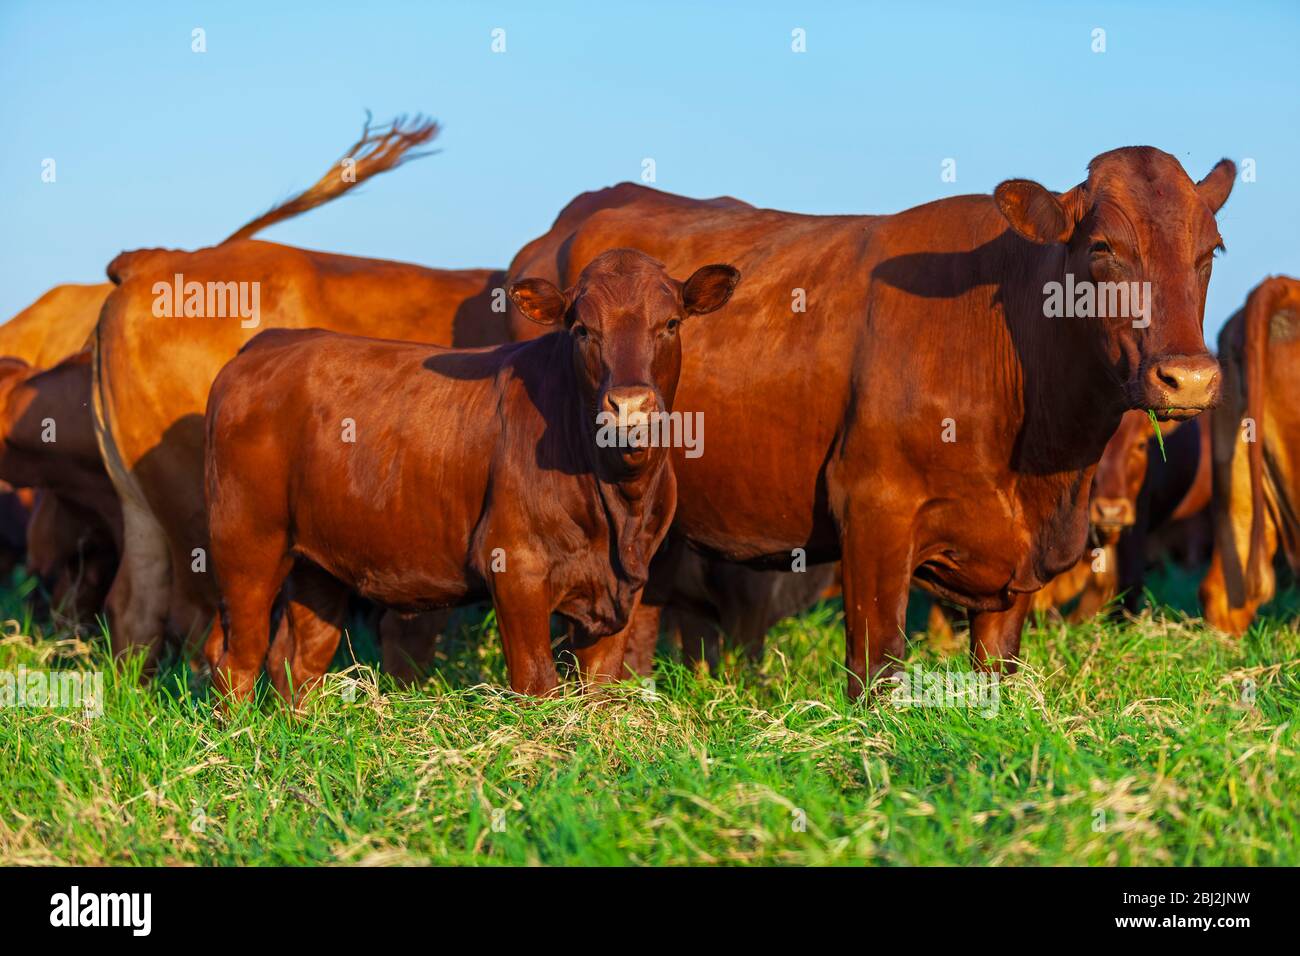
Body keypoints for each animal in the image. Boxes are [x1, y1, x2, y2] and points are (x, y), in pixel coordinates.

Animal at [202, 249, 739, 702]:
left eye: (670, 323)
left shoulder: (623, 585)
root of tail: (266, 344)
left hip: (317, 560)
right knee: (237, 658)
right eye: (582, 329)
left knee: (298, 661)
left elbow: (600, 689)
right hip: (246, 544)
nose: (629, 405)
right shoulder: (516, 564)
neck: (619, 504)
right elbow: (537, 682)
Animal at [507, 147, 1234, 698]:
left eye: (1212, 252)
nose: (1189, 377)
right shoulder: (874, 507)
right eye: (1104, 248)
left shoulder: (1016, 556)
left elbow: (998, 666)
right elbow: (877, 662)